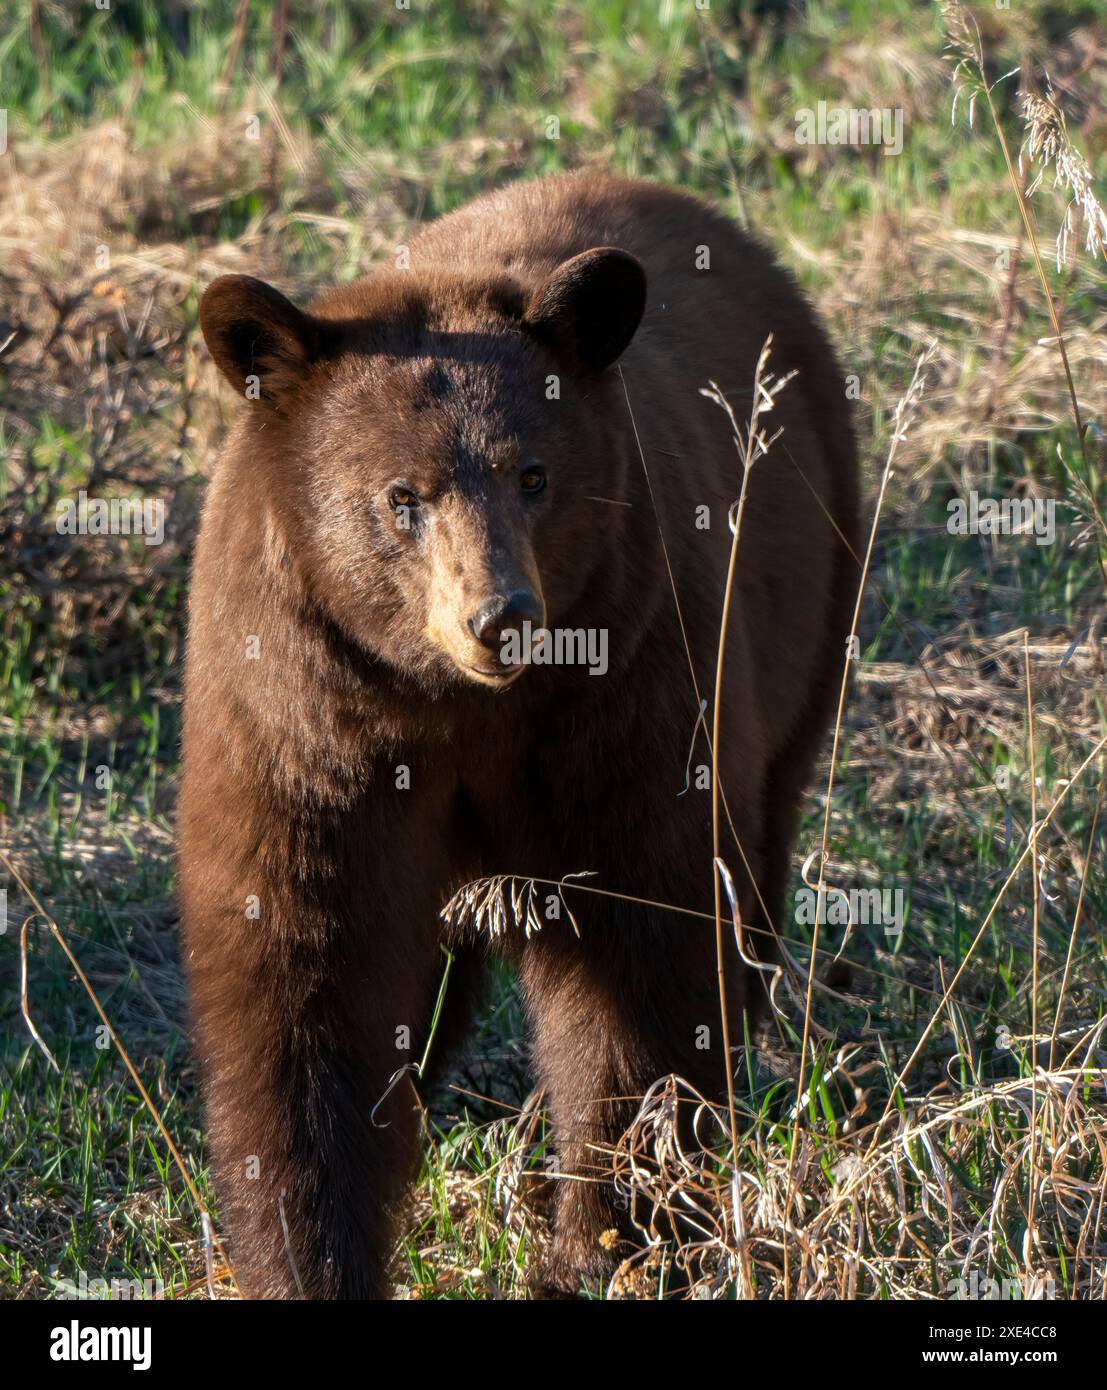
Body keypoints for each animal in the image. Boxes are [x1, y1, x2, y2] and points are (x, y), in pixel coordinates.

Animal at [180, 169, 859, 1299]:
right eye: (400, 497)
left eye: (533, 474)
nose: (502, 617)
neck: (453, 707)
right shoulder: (304, 724)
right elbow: (300, 982)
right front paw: (308, 1253)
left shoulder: (624, 692)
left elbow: (644, 959)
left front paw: (605, 1241)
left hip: (808, 617)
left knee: (756, 857)